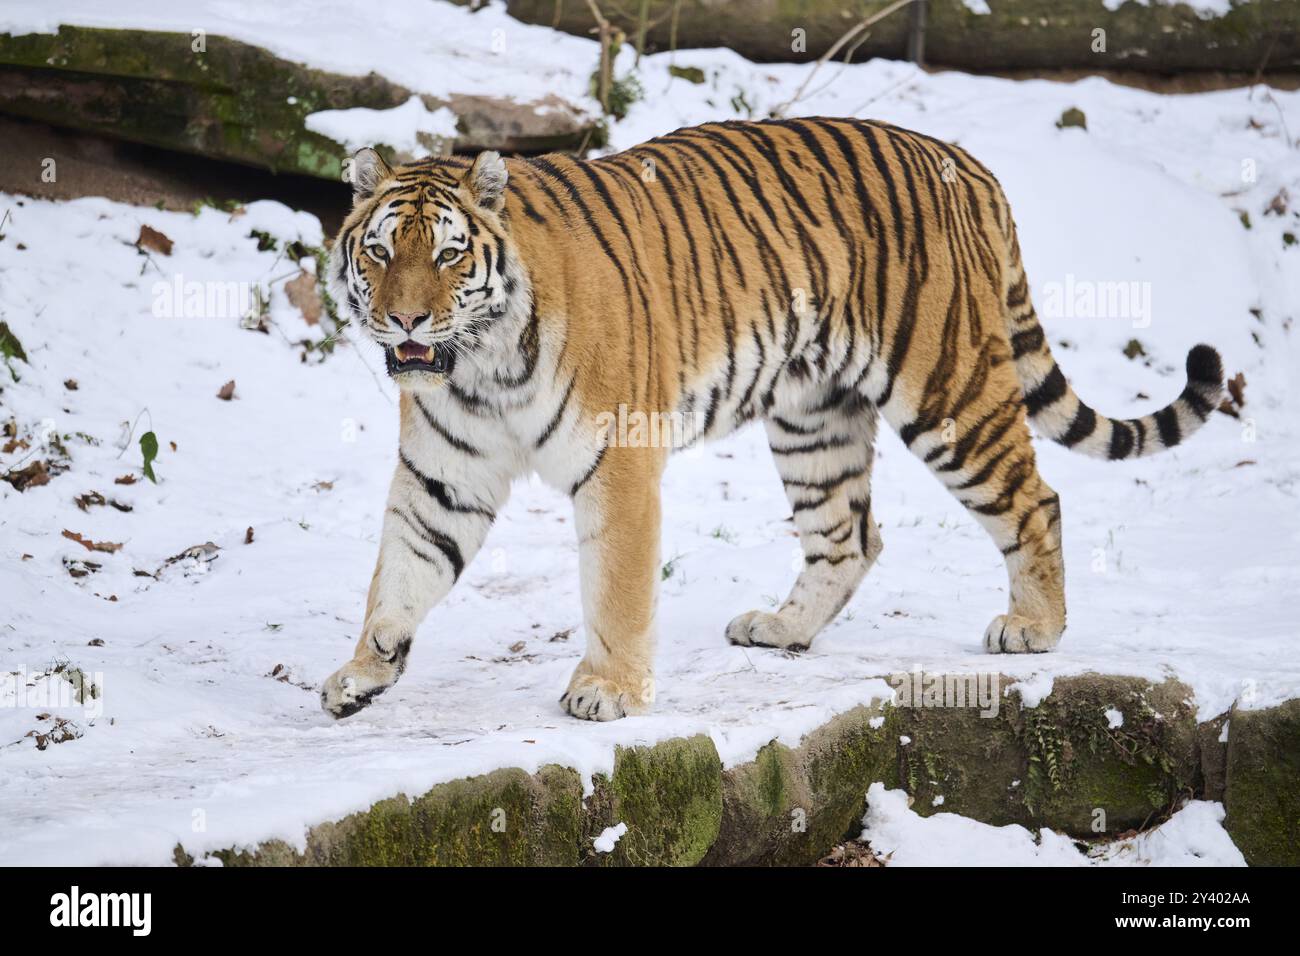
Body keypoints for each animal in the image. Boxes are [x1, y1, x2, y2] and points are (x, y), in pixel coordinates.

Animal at [319, 118, 1224, 722]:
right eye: (380, 251)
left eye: (448, 254)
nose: (404, 321)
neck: (480, 366)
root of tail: (968, 162)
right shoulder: (446, 469)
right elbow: (402, 566)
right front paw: (367, 668)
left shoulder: (620, 463)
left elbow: (616, 588)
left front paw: (607, 691)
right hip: (814, 416)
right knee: (850, 535)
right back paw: (783, 628)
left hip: (948, 389)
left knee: (1034, 499)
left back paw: (1033, 628)